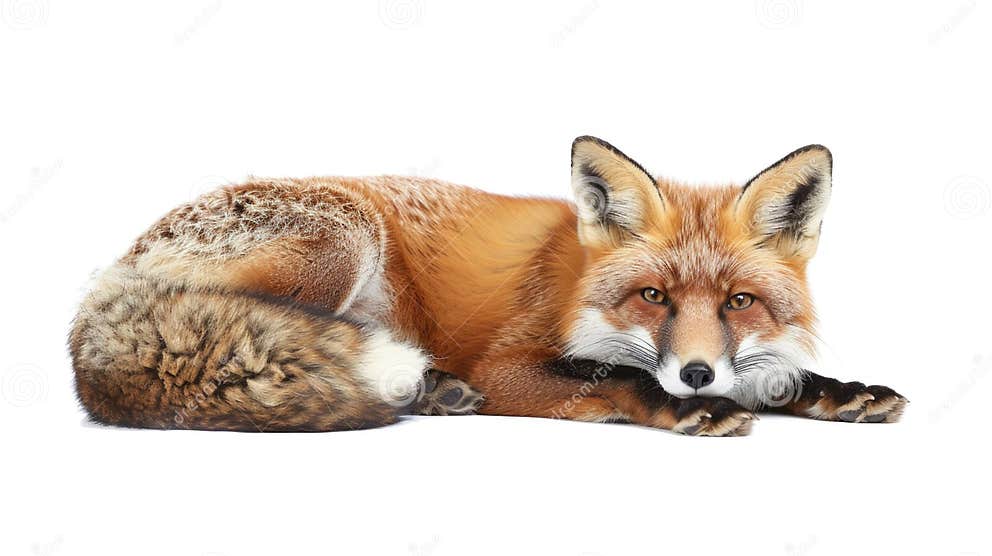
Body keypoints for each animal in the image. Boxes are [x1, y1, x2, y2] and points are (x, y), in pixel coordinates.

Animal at [69, 136, 906, 436]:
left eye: (738, 302)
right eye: (653, 297)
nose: (697, 372)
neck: (577, 284)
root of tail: (105, 281)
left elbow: (779, 376)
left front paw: (838, 391)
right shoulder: (507, 365)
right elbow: (620, 379)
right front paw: (680, 404)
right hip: (341, 239)